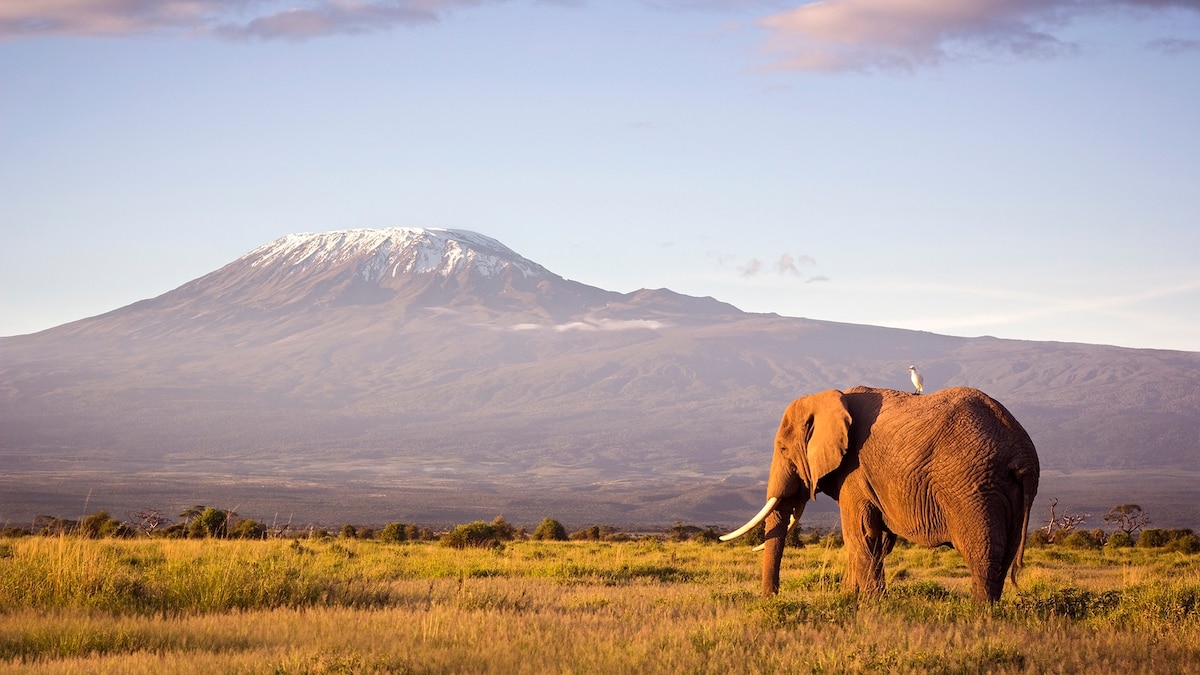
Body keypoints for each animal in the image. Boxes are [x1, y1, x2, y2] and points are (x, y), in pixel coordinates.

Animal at [721, 386, 1039, 603]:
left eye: (783, 449)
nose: (772, 598)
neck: (829, 397)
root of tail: (1021, 452)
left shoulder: (855, 472)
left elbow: (860, 535)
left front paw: (871, 605)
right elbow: (868, 542)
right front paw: (848, 599)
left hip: (971, 488)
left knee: (982, 553)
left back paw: (978, 614)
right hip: (1006, 492)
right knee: (1004, 555)